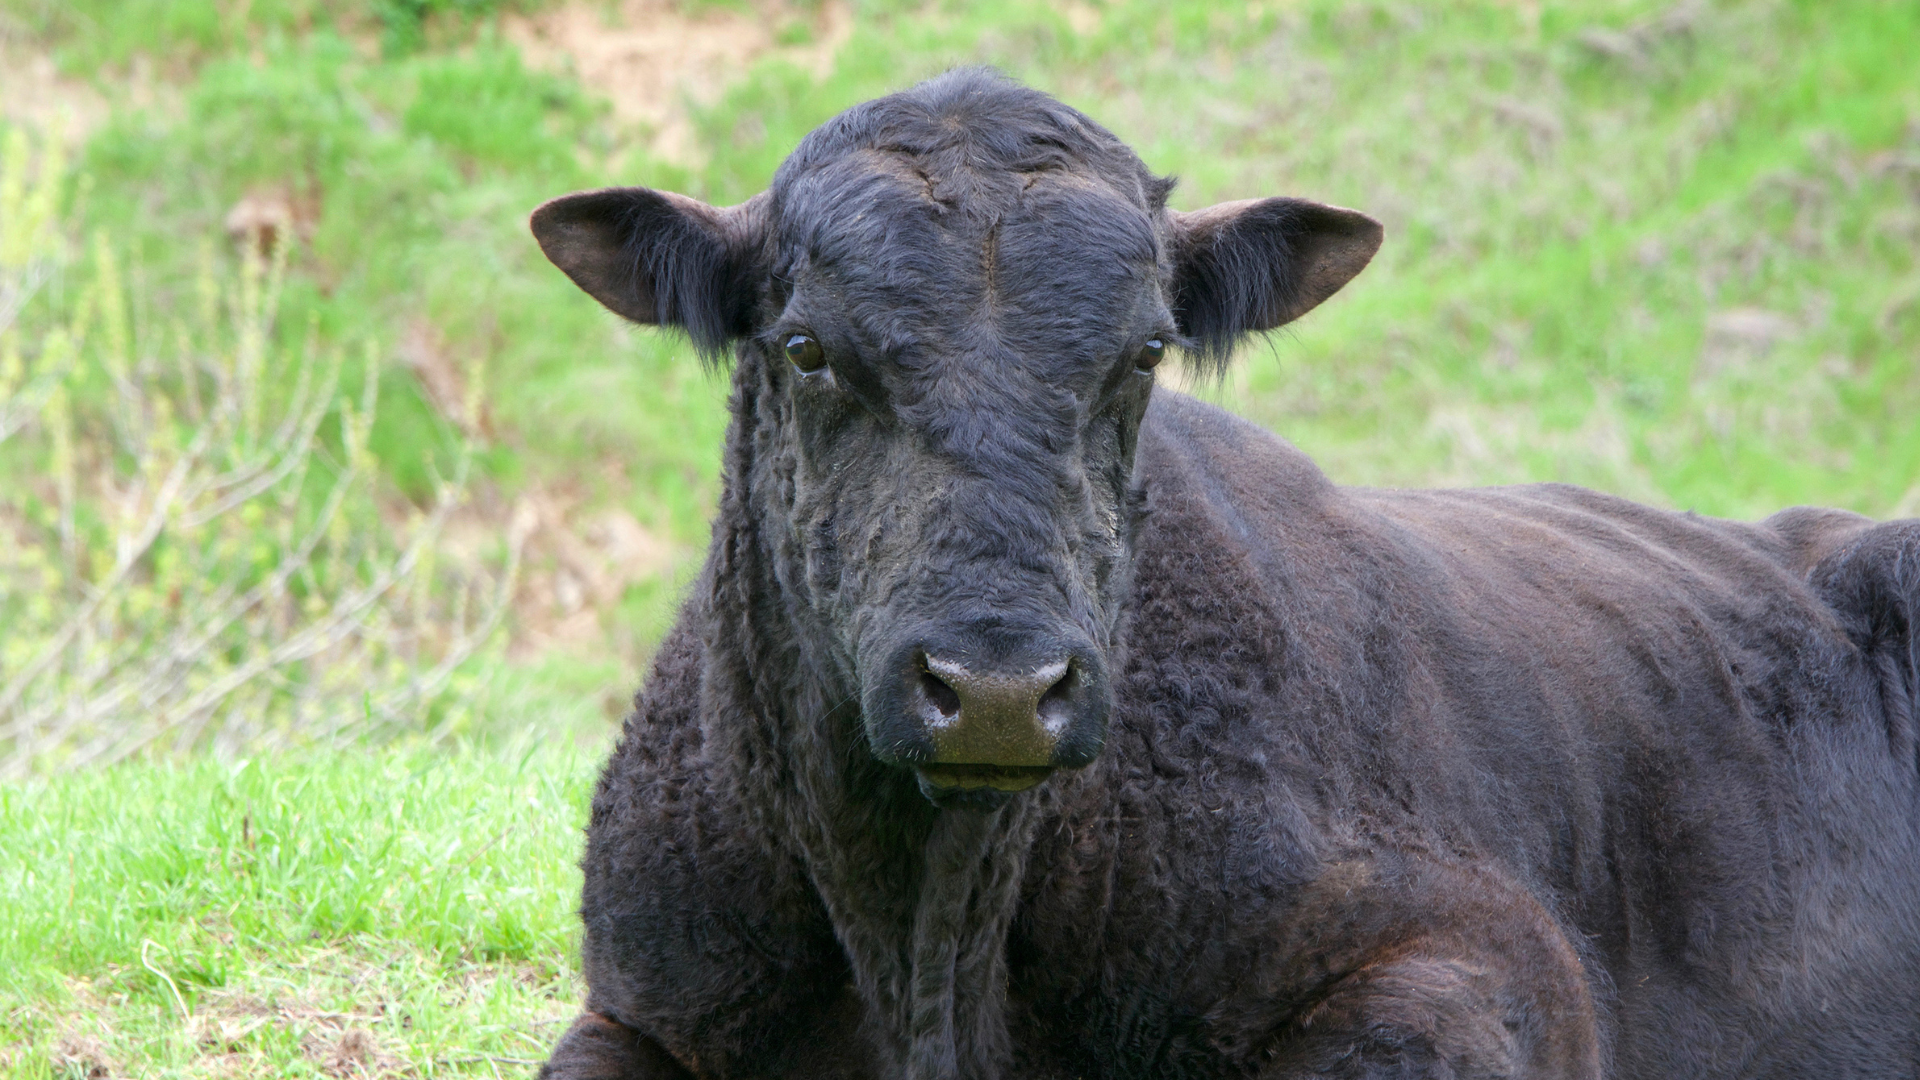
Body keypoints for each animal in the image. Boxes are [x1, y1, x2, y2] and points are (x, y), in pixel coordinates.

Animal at [527, 69, 1920, 1079]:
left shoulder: (1484, 952)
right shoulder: (646, 1002)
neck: (929, 938)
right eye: (808, 348)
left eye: (1145, 352)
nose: (997, 687)